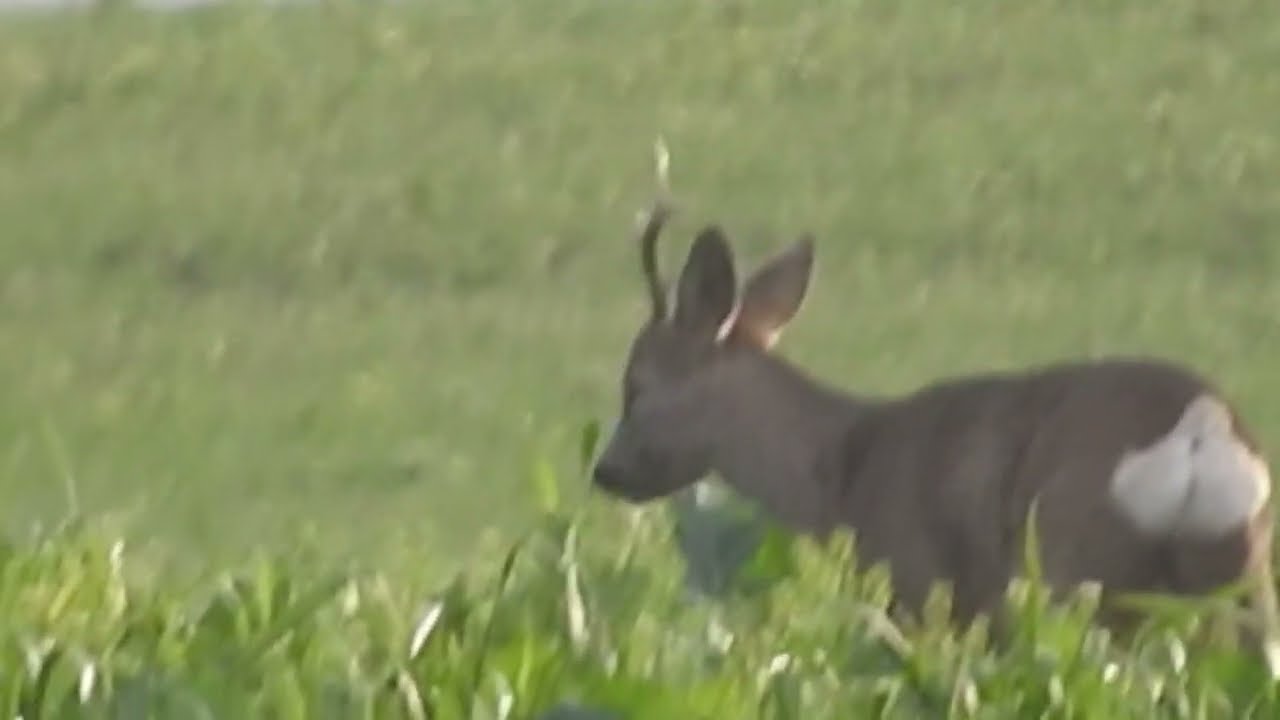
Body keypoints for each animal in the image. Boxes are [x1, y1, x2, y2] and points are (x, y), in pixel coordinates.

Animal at [591, 202, 1280, 671]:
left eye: (636, 385)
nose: (606, 471)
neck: (842, 469)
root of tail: (1199, 429)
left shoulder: (916, 593)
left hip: (1076, 573)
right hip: (1241, 579)